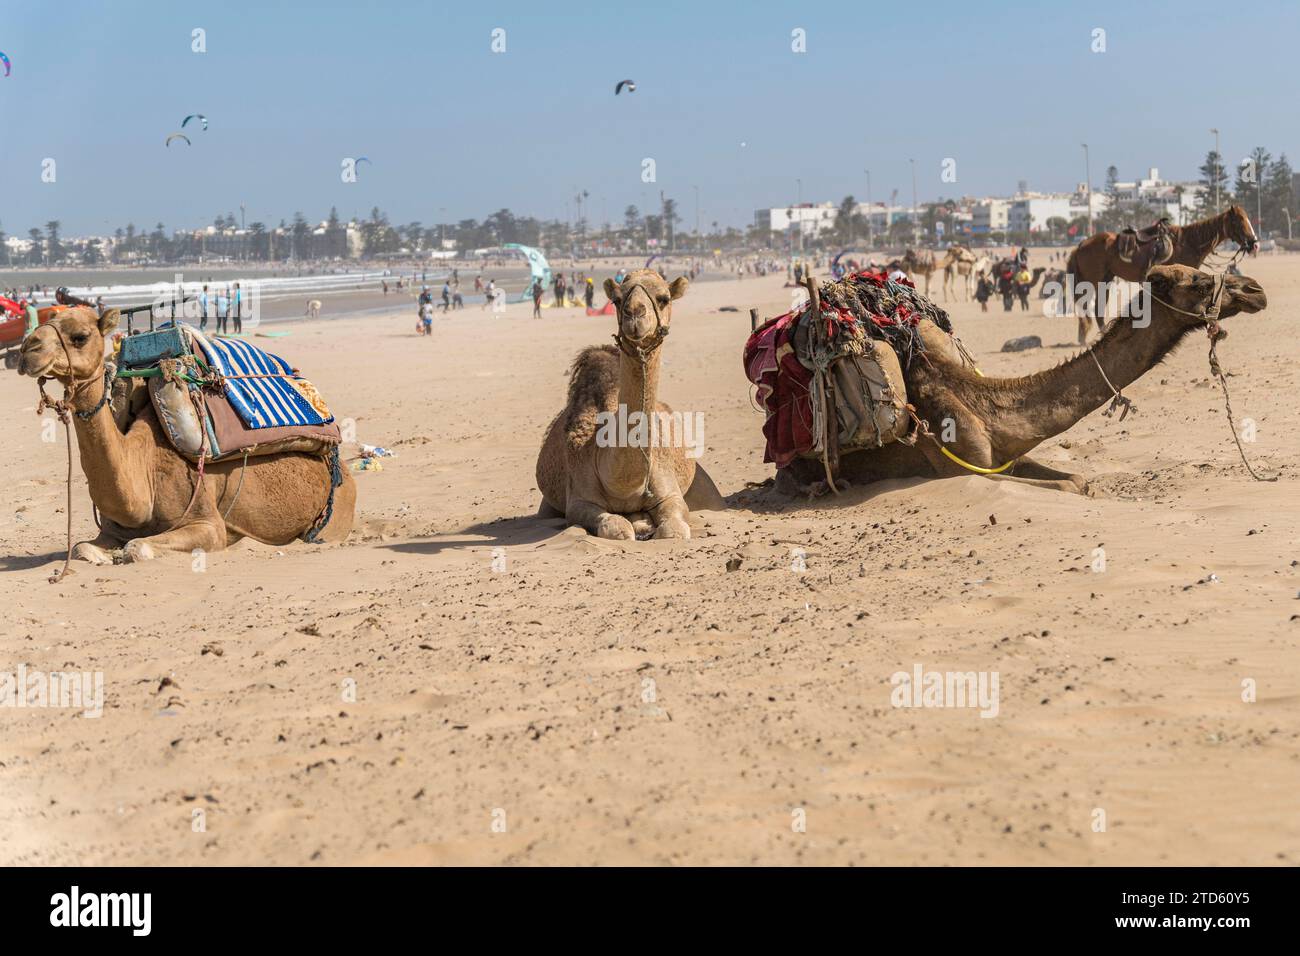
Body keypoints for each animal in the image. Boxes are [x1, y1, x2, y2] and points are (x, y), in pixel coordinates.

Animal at [18, 306, 356, 563]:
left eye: (80, 336)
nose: (27, 349)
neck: (144, 465)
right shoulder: (113, 529)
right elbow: (81, 548)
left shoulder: (207, 522)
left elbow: (137, 547)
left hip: (336, 517)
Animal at [535, 270, 724, 539]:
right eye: (616, 299)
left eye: (664, 298)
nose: (634, 313)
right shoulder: (579, 499)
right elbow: (615, 528)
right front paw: (633, 526)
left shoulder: (671, 492)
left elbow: (674, 529)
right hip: (547, 506)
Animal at [776, 265, 1266, 496]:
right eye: (1199, 281)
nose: (1256, 289)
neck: (988, 405)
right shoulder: (960, 468)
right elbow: (1070, 486)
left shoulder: (1007, 457)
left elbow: (1077, 479)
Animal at [1066, 205, 1259, 342]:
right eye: (1240, 221)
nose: (1255, 244)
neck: (1187, 242)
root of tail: (1081, 245)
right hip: (1093, 281)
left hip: (1106, 279)